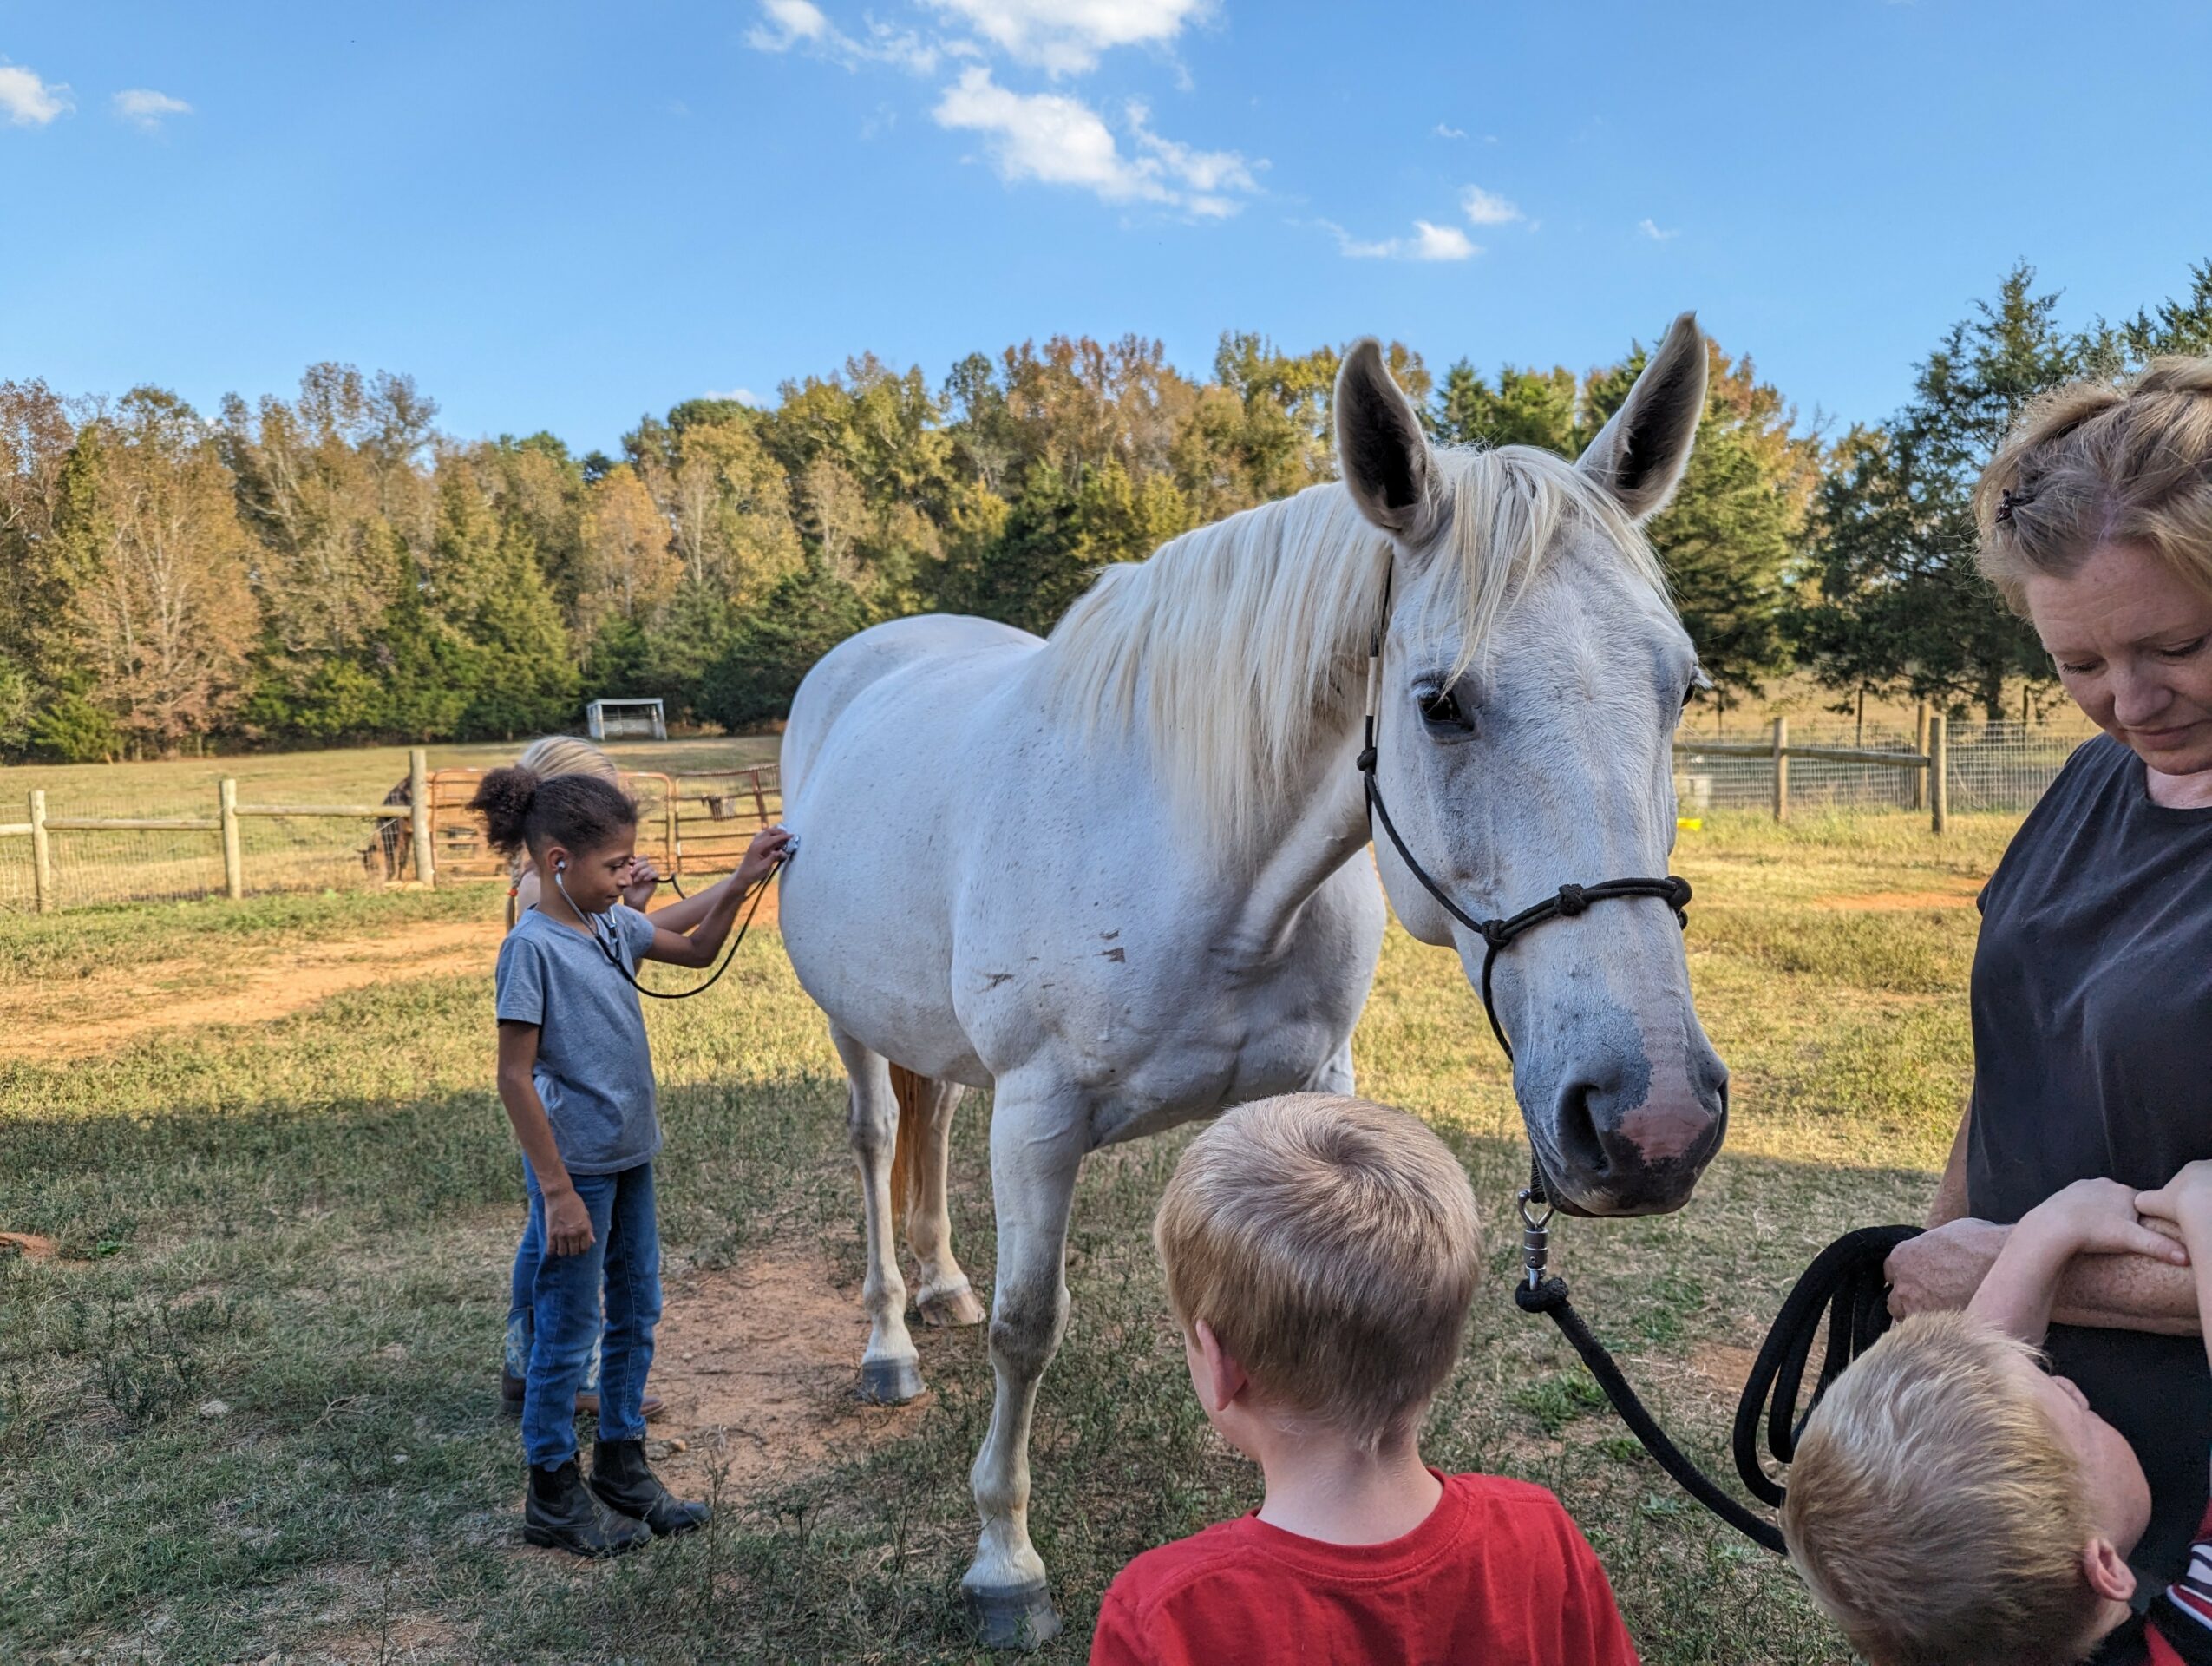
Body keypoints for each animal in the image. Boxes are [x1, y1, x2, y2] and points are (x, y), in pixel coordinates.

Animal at [777, 314, 1730, 1645]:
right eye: (1440, 704)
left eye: (1680, 691)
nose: (1654, 1122)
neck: (1205, 867)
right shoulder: (1039, 1118)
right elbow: (1031, 1331)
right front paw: (1004, 1562)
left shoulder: (1303, 1086)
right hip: (851, 1025)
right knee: (874, 1148)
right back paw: (886, 1346)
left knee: (931, 1127)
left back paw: (941, 1290)